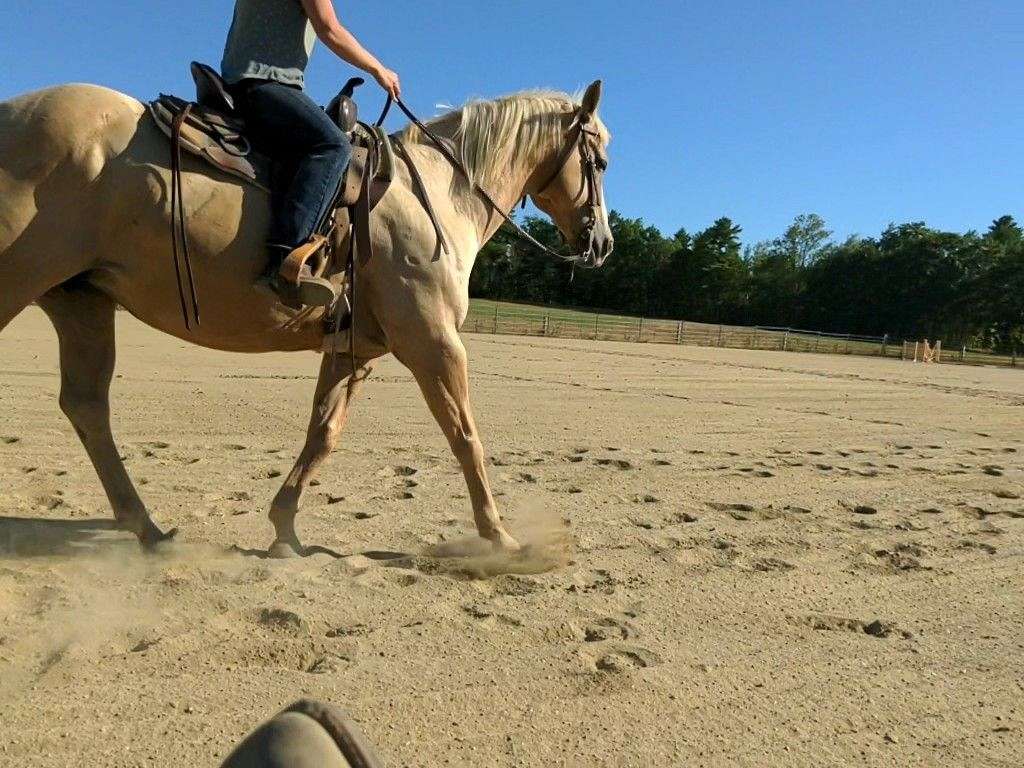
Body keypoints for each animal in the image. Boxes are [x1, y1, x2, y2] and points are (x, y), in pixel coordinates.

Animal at [0, 79, 613, 557]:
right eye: (601, 161)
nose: (603, 243)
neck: (434, 197)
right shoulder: (432, 340)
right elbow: (464, 434)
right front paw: (499, 537)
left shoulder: (355, 350)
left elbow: (324, 433)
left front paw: (284, 530)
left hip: (79, 303)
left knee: (87, 407)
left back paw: (146, 527)